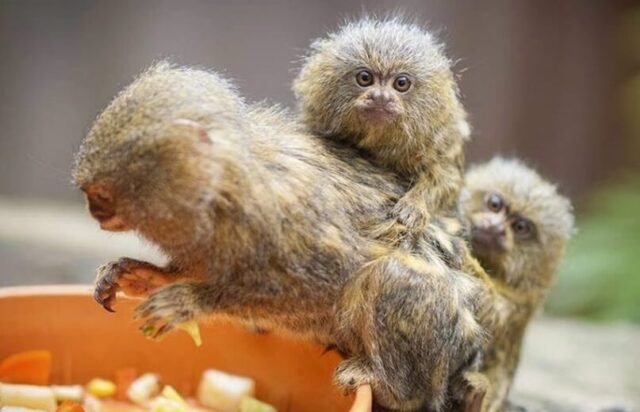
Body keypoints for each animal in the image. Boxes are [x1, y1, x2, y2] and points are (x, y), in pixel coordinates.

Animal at [72, 63, 489, 412]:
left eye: (102, 195)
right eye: (90, 194)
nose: (94, 210)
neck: (223, 191)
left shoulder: (285, 212)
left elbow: (326, 286)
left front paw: (192, 301)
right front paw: (138, 275)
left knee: (392, 277)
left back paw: (392, 387)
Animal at [293, 17, 470, 243]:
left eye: (401, 83)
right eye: (365, 78)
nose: (381, 97)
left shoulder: (441, 140)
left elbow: (447, 179)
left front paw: (414, 206)